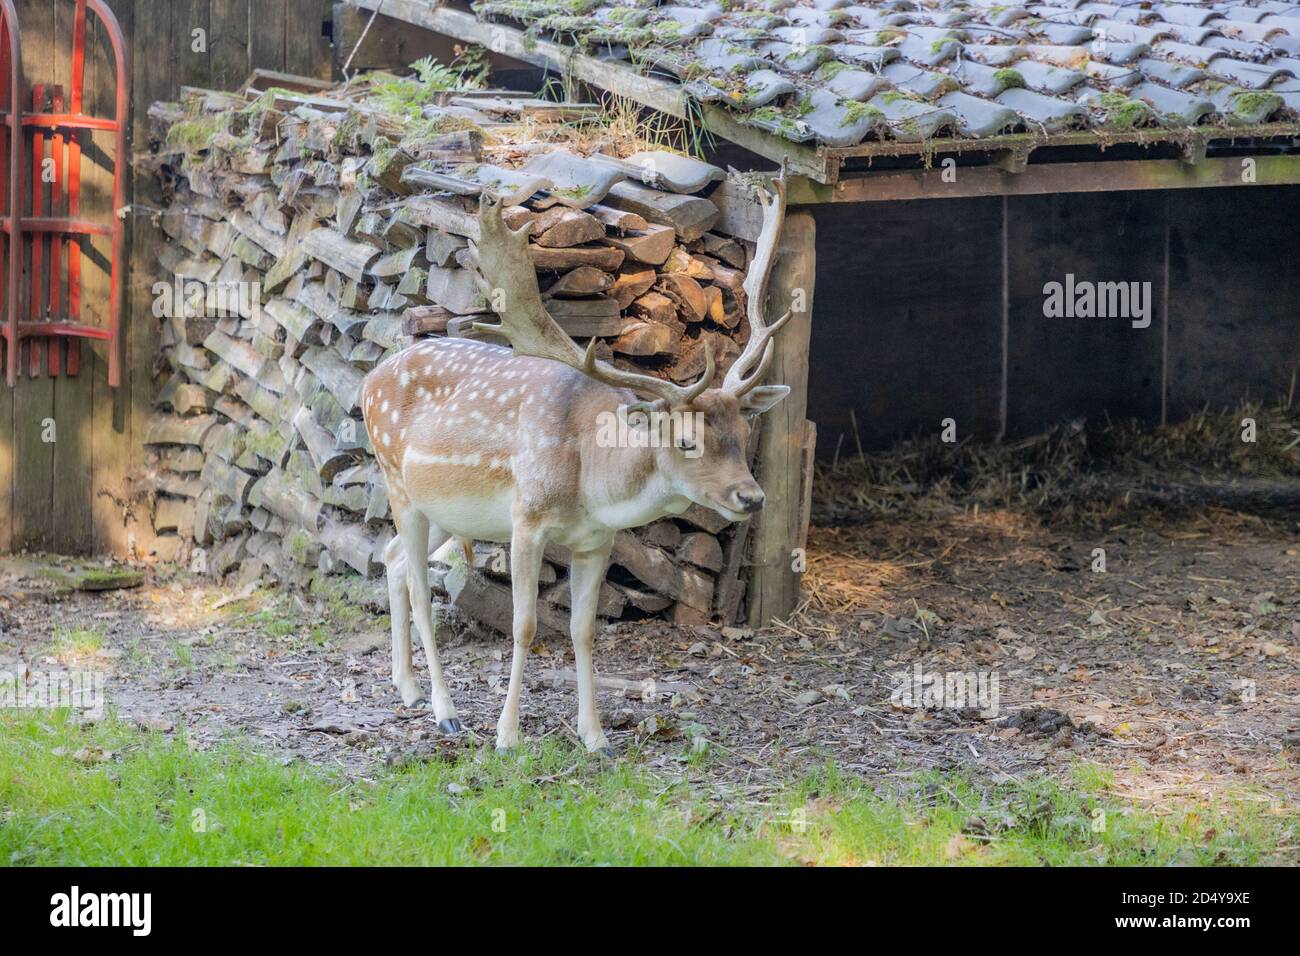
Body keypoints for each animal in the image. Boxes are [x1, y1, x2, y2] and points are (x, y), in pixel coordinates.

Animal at [361, 166, 793, 755]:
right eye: (685, 441)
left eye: (744, 432)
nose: (751, 496)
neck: (590, 488)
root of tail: (367, 379)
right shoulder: (526, 519)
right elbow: (524, 625)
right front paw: (508, 736)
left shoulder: (598, 541)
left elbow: (583, 630)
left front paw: (596, 737)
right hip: (397, 483)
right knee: (421, 588)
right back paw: (445, 711)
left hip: (442, 510)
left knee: (393, 559)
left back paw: (406, 687)